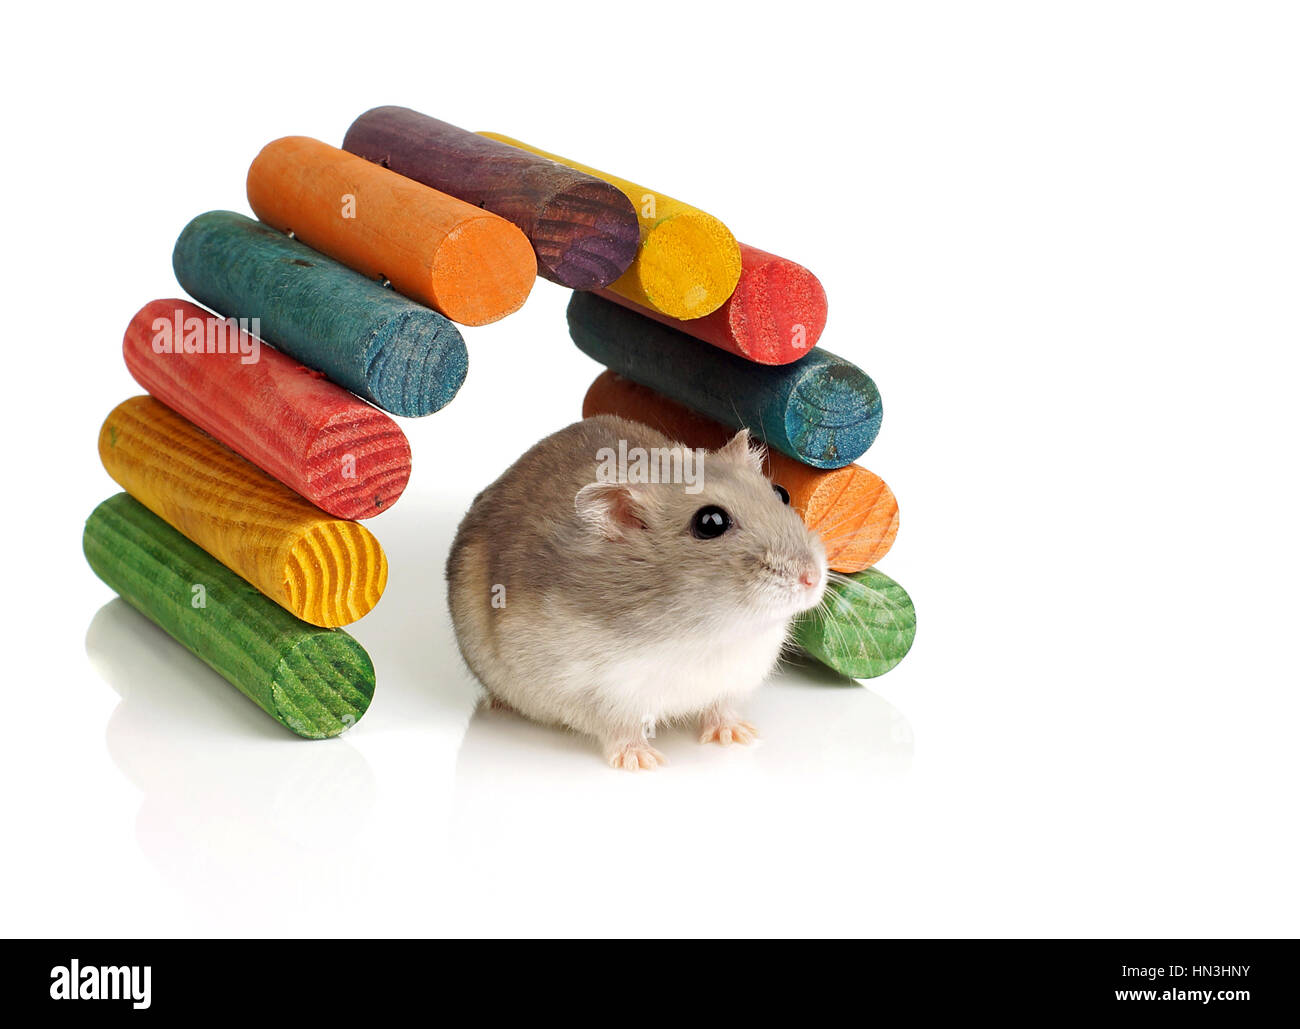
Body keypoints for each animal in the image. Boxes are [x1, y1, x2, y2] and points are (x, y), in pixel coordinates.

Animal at [445, 415, 828, 770]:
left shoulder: (734, 679)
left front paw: (740, 736)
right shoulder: (597, 692)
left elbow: (721, 708)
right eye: (710, 522)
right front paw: (643, 762)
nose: (812, 578)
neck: (711, 630)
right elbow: (621, 729)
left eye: (781, 493)